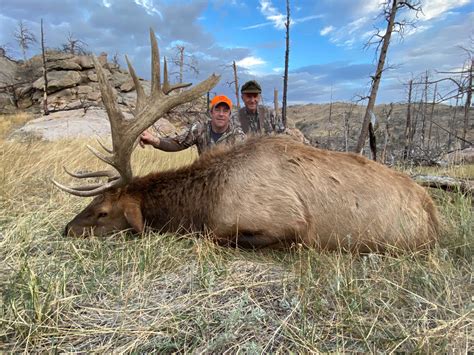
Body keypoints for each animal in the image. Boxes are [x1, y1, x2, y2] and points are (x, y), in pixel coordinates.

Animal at [53, 29, 442, 253]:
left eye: (103, 211)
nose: (67, 229)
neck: (206, 201)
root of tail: (433, 214)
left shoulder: (288, 223)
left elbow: (213, 236)